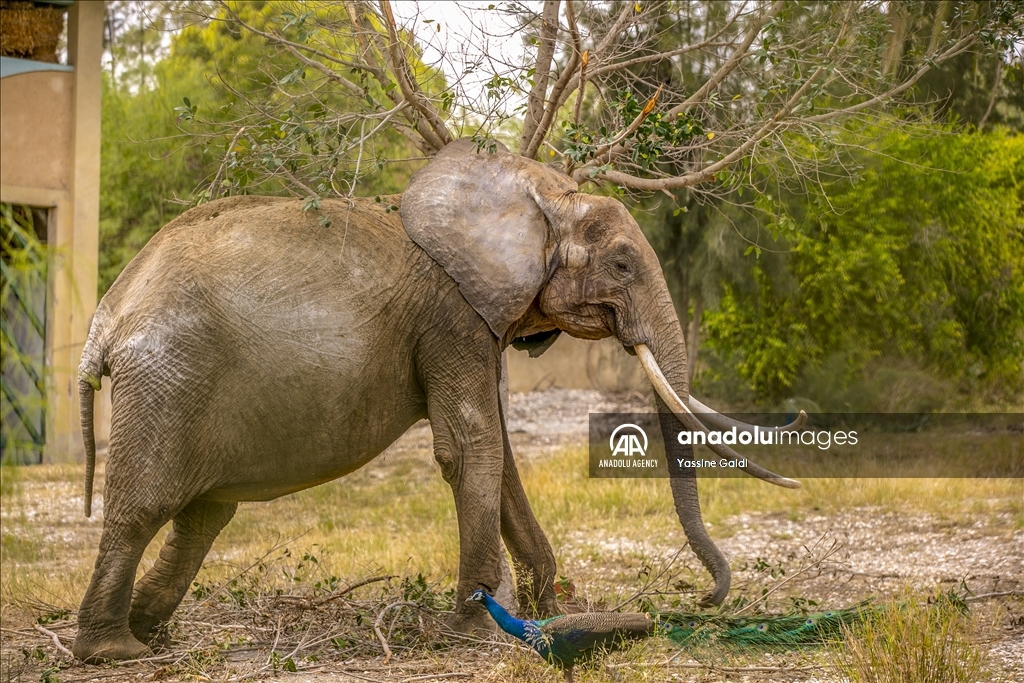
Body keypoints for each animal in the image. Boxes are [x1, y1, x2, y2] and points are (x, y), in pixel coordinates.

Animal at [72, 138, 799, 663]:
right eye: (621, 264)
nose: (704, 599)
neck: (535, 189)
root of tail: (106, 317)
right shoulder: (452, 316)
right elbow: (471, 446)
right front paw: (475, 631)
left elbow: (499, 451)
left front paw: (548, 608)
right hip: (167, 379)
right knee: (144, 508)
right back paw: (115, 651)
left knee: (203, 514)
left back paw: (150, 630)